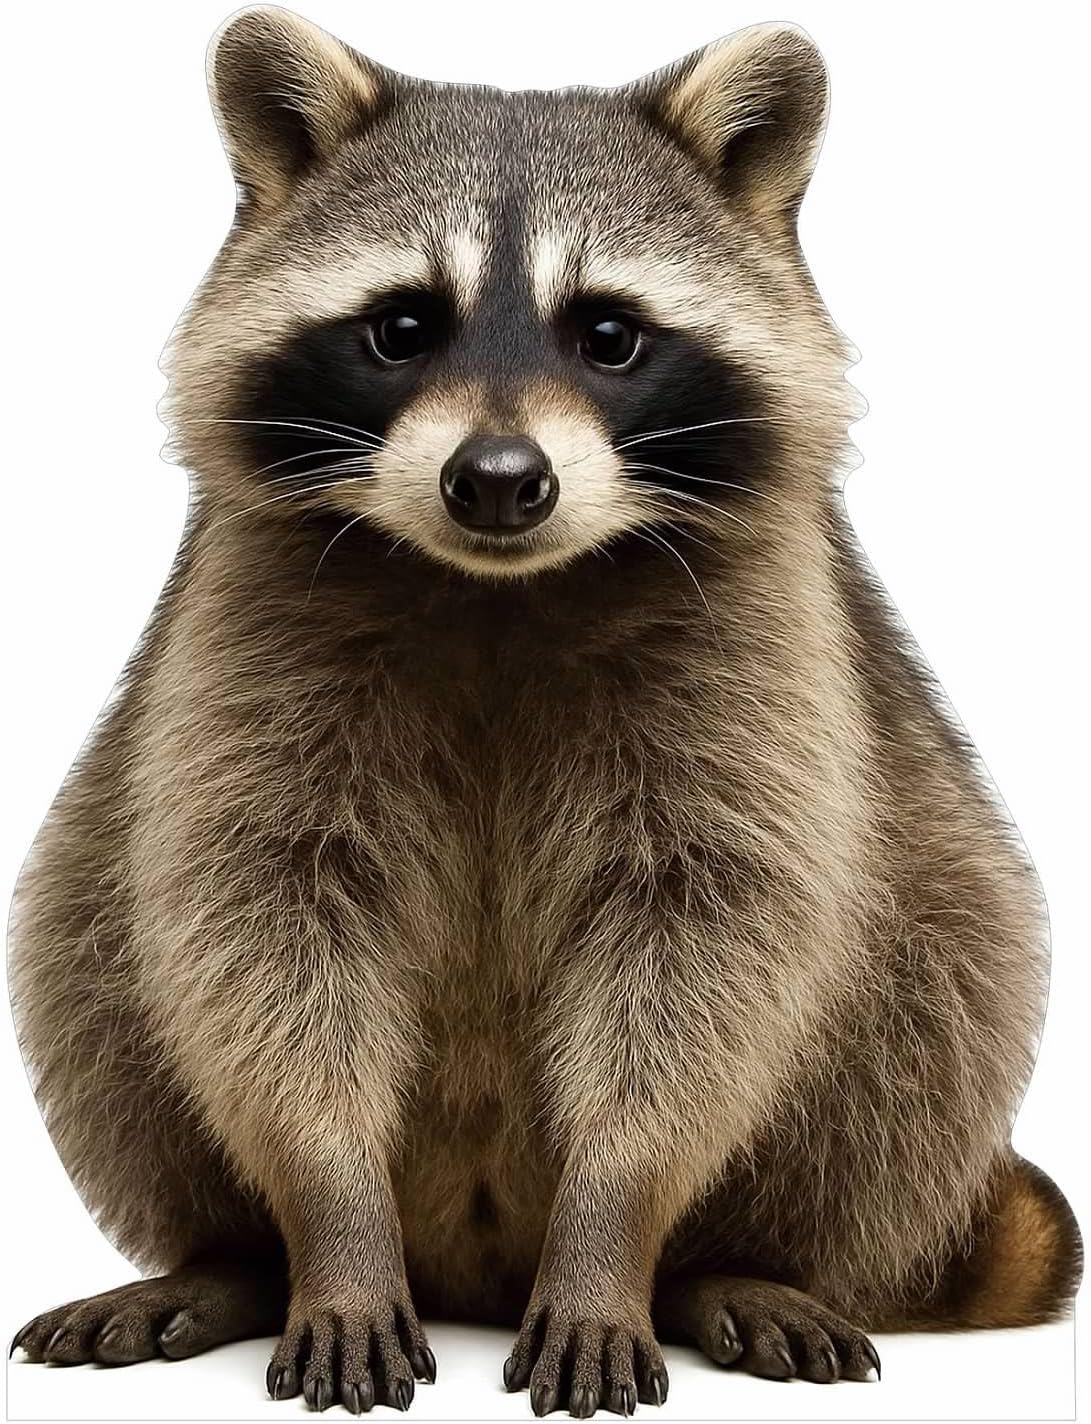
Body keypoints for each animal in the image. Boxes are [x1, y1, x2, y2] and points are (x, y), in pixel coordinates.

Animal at [8, 7, 1081, 1418]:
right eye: (402, 326)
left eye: (607, 334)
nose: (499, 480)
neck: (496, 587)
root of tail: (473, 1265)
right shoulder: (246, 625)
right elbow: (260, 911)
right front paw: (328, 1214)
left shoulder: (761, 640)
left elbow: (709, 930)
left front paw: (611, 1224)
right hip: (103, 887)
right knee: (83, 948)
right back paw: (234, 1256)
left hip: (925, 936)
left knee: (945, 971)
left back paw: (734, 1260)